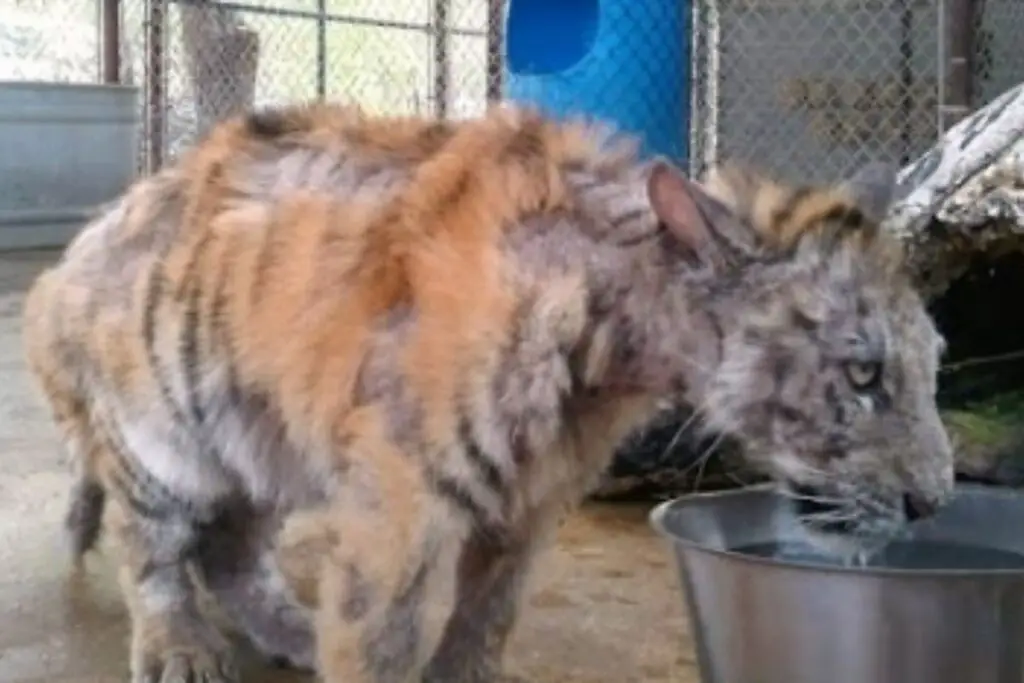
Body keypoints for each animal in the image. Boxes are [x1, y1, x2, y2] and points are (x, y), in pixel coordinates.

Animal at [22, 100, 953, 683]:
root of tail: (66, 264)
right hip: (161, 434)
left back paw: (290, 629)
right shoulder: (401, 502)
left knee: (227, 549)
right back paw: (180, 650)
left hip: (262, 441)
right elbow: (382, 636)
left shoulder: (529, 502)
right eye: (863, 374)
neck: (613, 344)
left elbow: (485, 618)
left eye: (933, 361)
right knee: (153, 550)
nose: (934, 502)